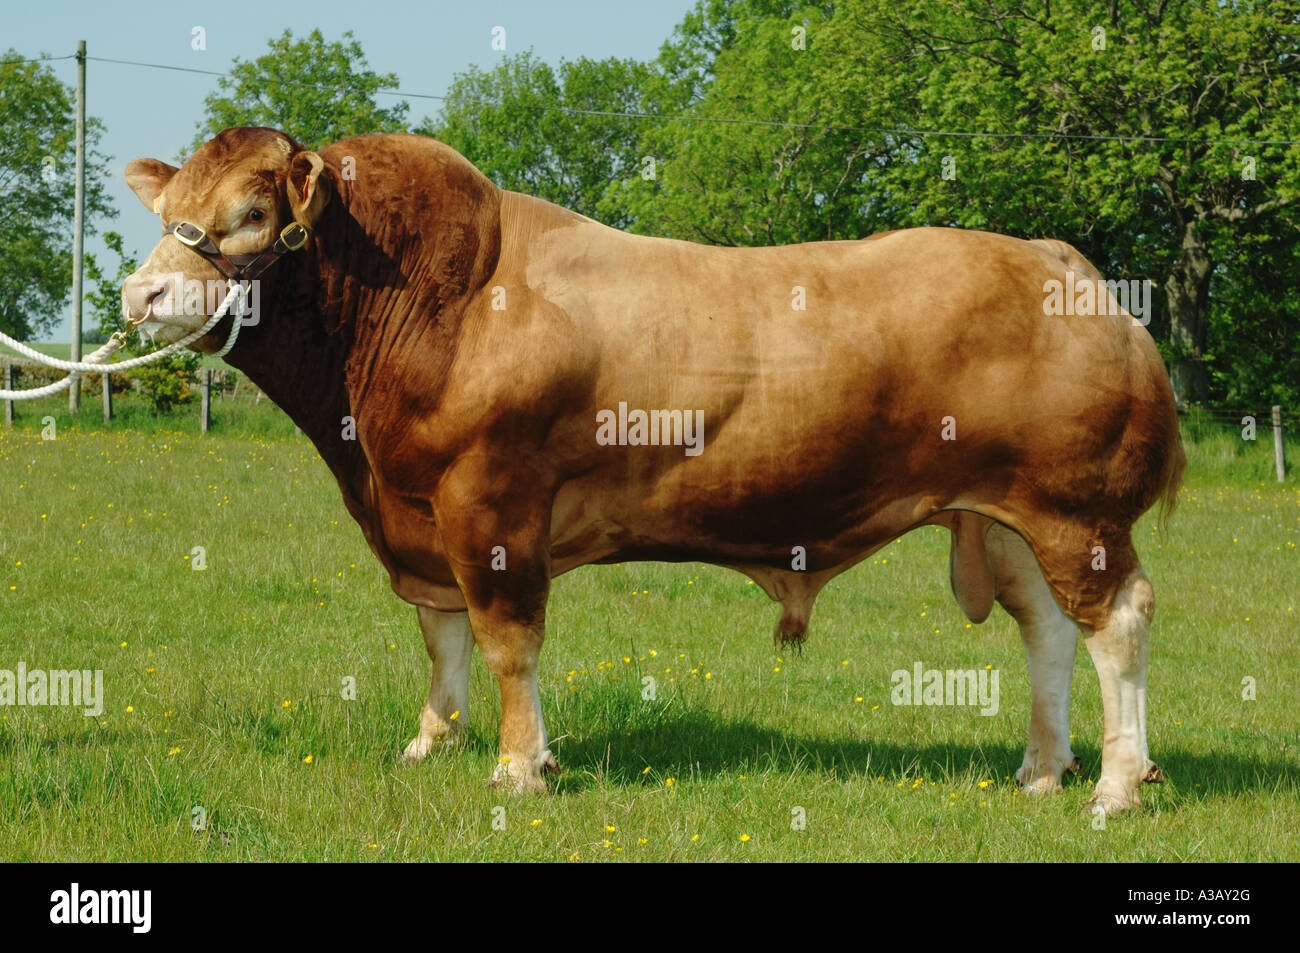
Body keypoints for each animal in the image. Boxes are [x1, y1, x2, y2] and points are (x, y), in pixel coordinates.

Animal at [121, 127, 1184, 816]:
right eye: (168, 209)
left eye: (252, 210)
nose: (141, 295)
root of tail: (1069, 267)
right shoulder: (421, 519)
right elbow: (443, 637)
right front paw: (431, 741)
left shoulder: (492, 506)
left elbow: (507, 641)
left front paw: (519, 767)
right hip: (1008, 518)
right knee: (1048, 631)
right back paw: (1042, 769)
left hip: (1076, 512)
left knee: (1120, 624)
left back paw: (1117, 787)